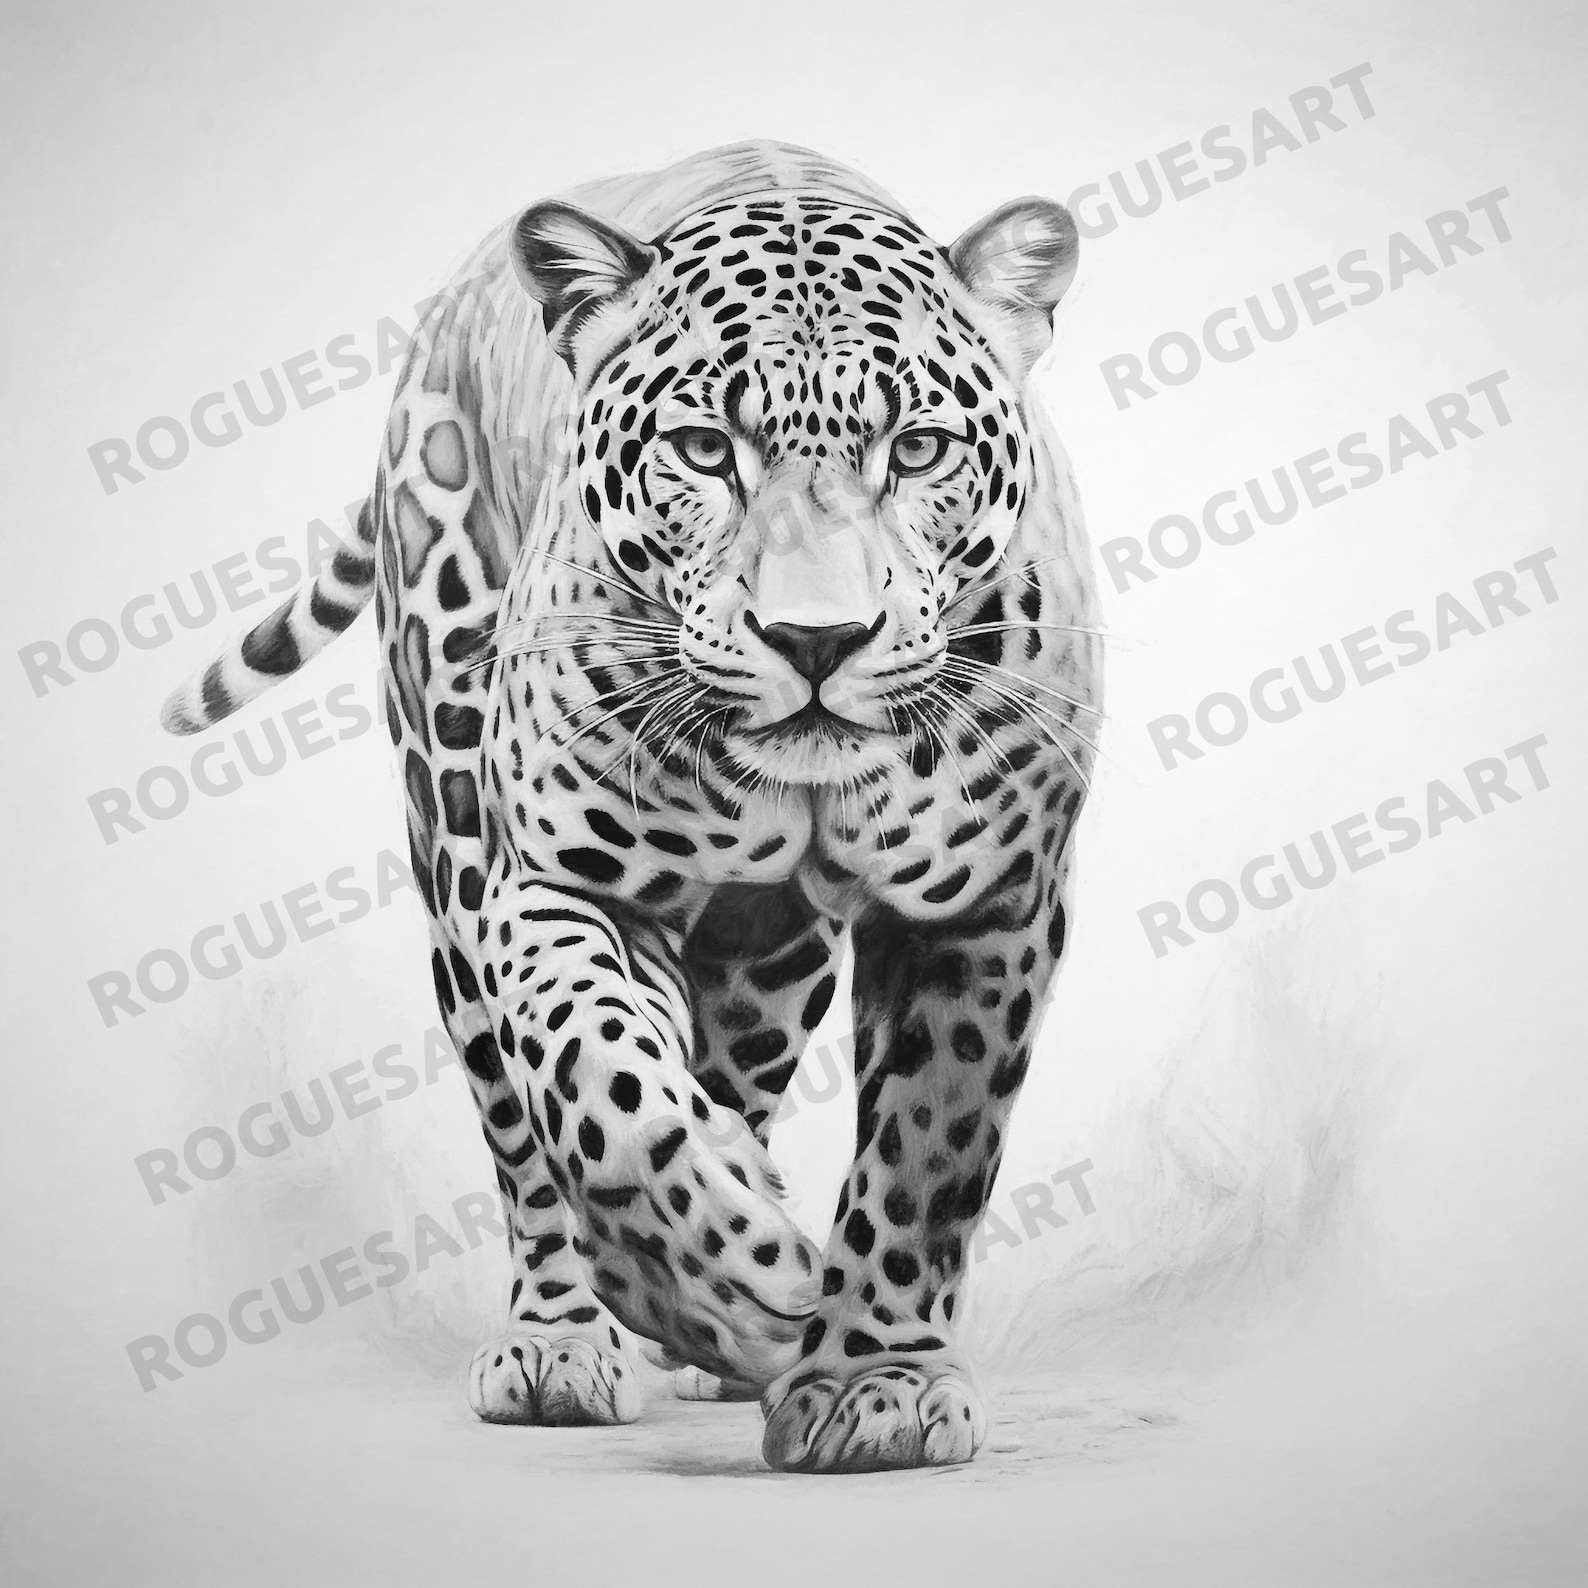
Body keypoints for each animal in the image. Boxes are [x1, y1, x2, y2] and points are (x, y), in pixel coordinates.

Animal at [161, 139, 1102, 1473]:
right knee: (524, 1123)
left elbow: (928, 1150)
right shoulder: (561, 883)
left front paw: (873, 1380)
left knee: (737, 1071)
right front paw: (741, 1285)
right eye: (705, 450)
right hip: (454, 823)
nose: (817, 639)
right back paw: (568, 1337)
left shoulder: (988, 906)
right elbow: (602, 1087)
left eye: (917, 452)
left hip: (770, 955)